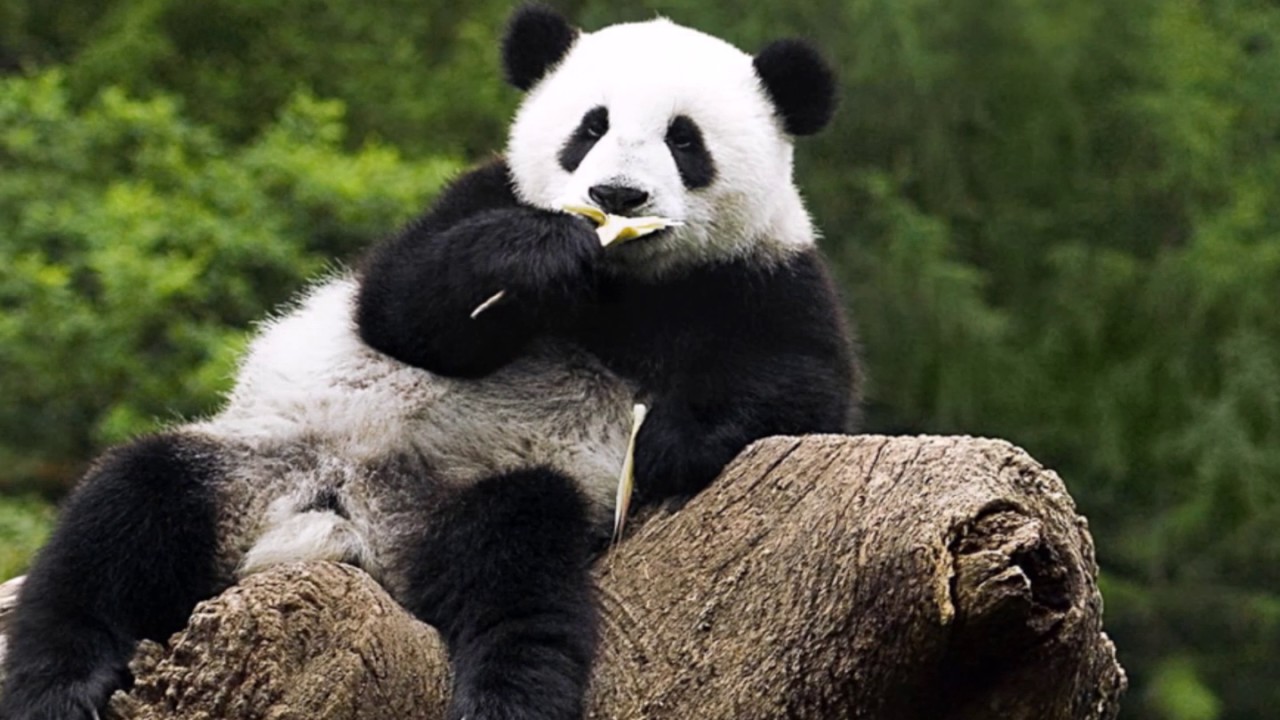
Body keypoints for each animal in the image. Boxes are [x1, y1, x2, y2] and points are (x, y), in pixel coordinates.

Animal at [0, 6, 858, 720]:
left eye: (685, 140)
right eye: (590, 127)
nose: (616, 195)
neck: (623, 281)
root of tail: (343, 522)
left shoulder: (763, 275)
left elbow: (803, 389)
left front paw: (666, 442)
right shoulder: (476, 196)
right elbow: (400, 306)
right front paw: (540, 255)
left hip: (474, 494)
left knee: (514, 568)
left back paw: (510, 694)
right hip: (254, 462)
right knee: (122, 513)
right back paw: (58, 685)